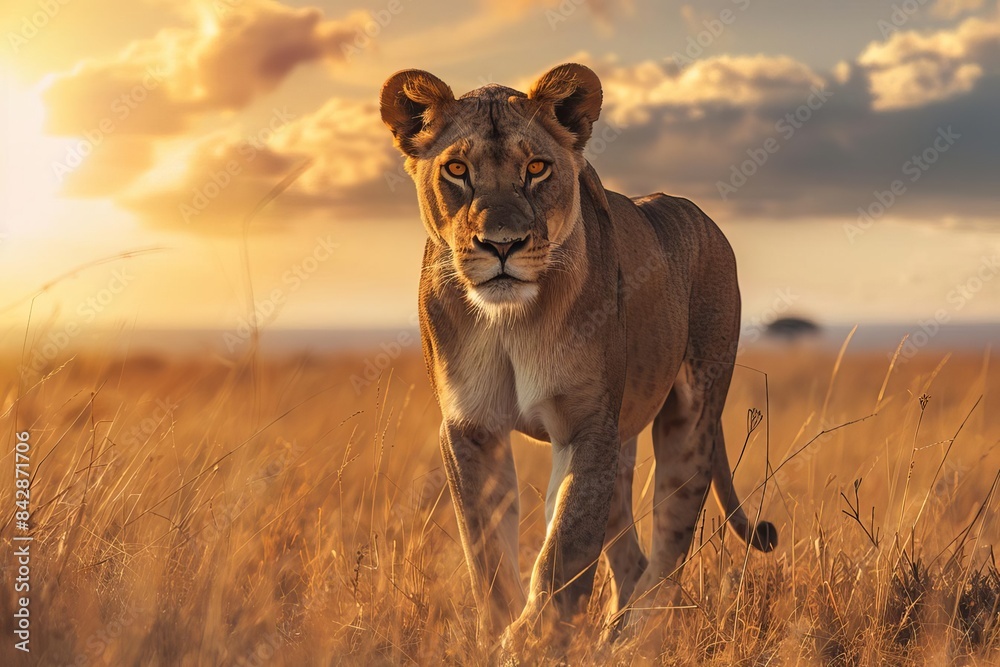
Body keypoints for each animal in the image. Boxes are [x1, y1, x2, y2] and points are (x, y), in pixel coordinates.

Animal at [379, 63, 777, 652]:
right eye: (456, 169)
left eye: (537, 168)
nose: (502, 244)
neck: (509, 321)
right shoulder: (472, 427)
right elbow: (488, 552)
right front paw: (502, 632)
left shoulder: (587, 424)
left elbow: (563, 546)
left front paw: (532, 640)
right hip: (623, 441)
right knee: (630, 556)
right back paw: (613, 635)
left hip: (691, 416)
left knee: (669, 549)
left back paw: (636, 639)